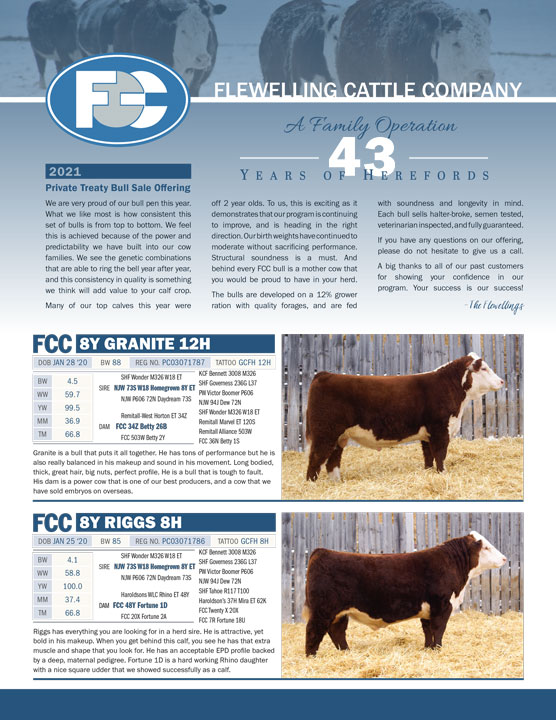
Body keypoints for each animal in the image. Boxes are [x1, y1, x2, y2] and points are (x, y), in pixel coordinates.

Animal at [303, 532, 507, 656]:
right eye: (486, 547)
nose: (504, 558)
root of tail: (320, 551)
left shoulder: (428, 610)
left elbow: (428, 630)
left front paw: (428, 649)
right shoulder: (442, 605)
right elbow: (439, 629)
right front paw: (438, 650)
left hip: (339, 613)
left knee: (337, 632)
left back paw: (346, 652)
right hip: (323, 609)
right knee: (313, 630)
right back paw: (311, 657)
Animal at [305, 352, 504, 481]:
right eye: (484, 368)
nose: (502, 381)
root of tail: (324, 374)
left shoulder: (427, 434)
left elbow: (428, 456)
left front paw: (428, 472)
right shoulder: (440, 429)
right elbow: (440, 455)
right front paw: (443, 474)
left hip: (339, 437)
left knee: (332, 462)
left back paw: (337, 483)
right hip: (325, 433)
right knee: (315, 459)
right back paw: (312, 484)